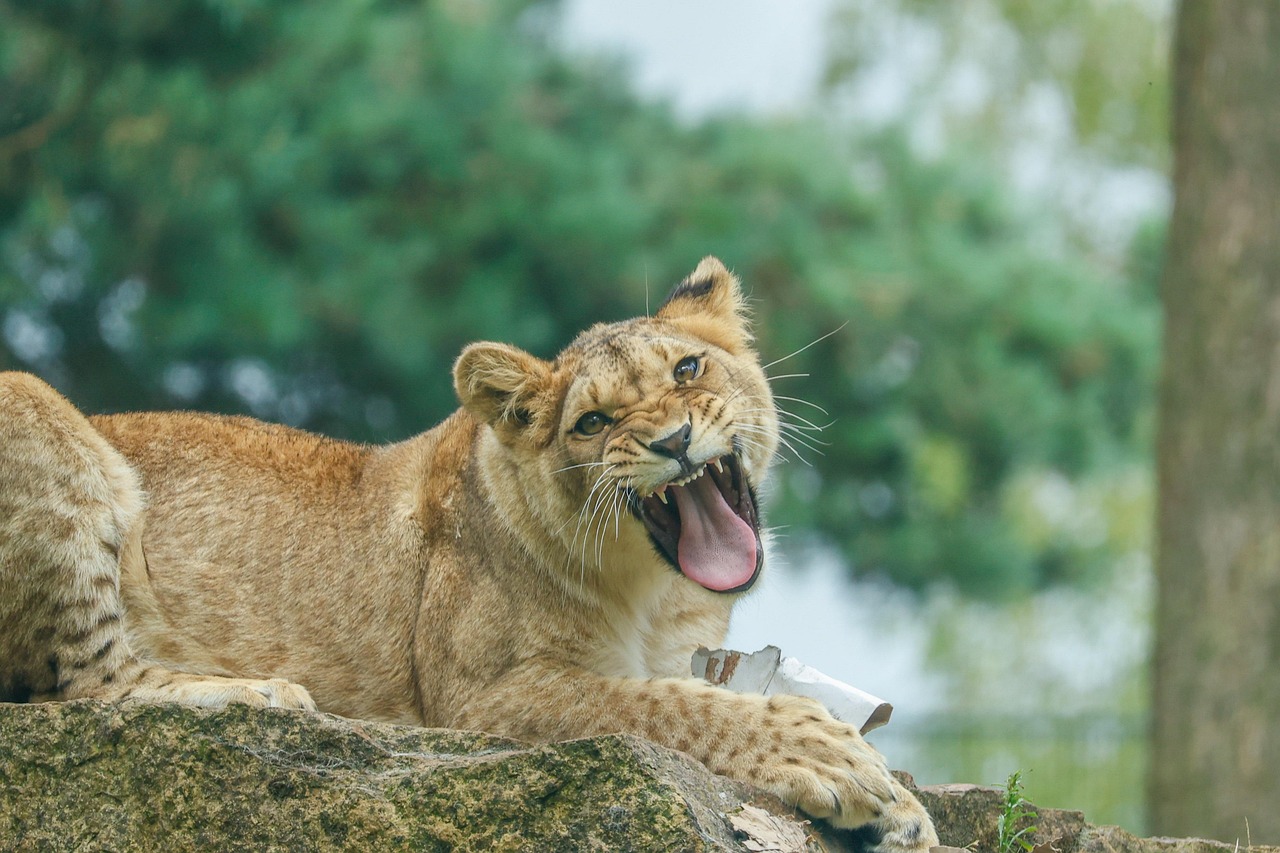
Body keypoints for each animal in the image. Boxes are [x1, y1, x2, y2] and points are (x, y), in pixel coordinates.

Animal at [0, 257, 937, 850]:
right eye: (593, 422)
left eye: (688, 368)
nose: (672, 440)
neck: (655, 591)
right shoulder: (480, 699)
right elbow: (662, 707)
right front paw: (831, 756)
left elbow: (689, 690)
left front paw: (902, 807)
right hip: (29, 399)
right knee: (83, 686)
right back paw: (257, 693)